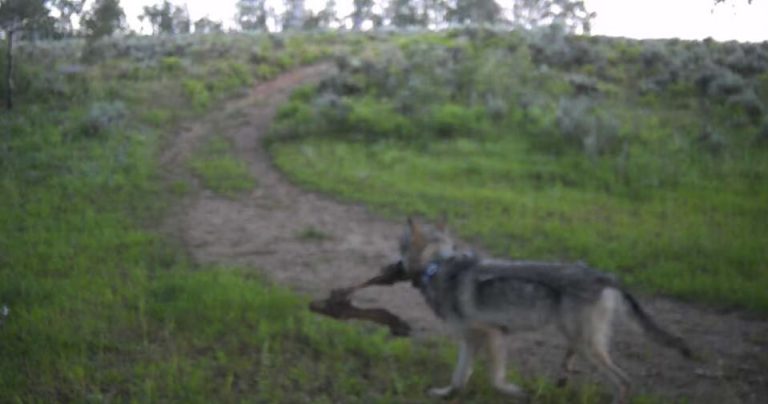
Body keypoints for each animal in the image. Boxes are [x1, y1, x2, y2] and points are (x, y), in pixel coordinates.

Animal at [398, 218, 692, 404]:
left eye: (399, 247)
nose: (393, 264)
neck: (438, 265)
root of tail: (604, 276)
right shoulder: (471, 341)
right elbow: (459, 378)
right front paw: (443, 394)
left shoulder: (493, 335)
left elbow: (496, 380)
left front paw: (517, 393)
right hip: (578, 337)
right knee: (581, 360)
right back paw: (563, 375)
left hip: (589, 346)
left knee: (623, 382)